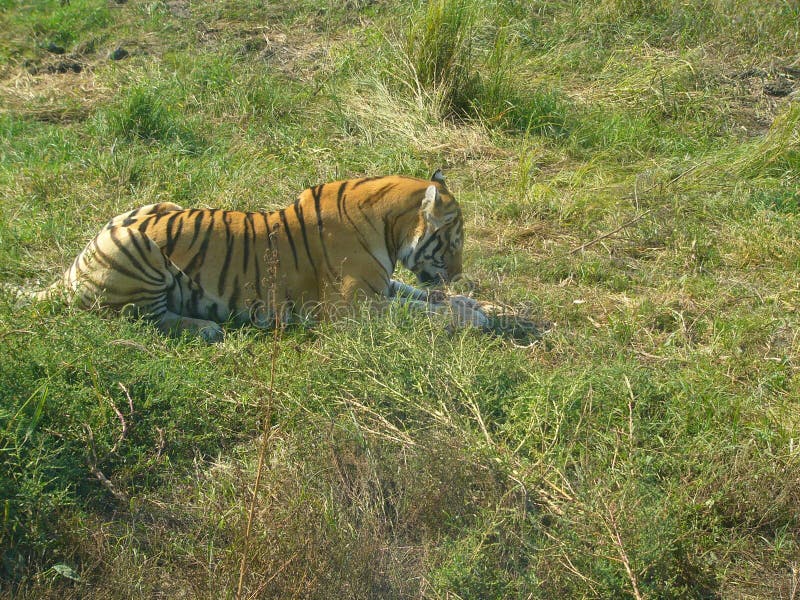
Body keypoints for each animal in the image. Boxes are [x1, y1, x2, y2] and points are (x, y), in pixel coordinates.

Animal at [19, 170, 489, 341]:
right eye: (454, 241)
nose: (458, 274)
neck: (390, 231)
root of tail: (76, 262)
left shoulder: (381, 287)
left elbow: (420, 296)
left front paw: (478, 305)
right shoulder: (356, 310)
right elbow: (423, 310)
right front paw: (474, 318)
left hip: (157, 204)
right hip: (136, 248)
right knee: (140, 319)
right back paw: (206, 329)